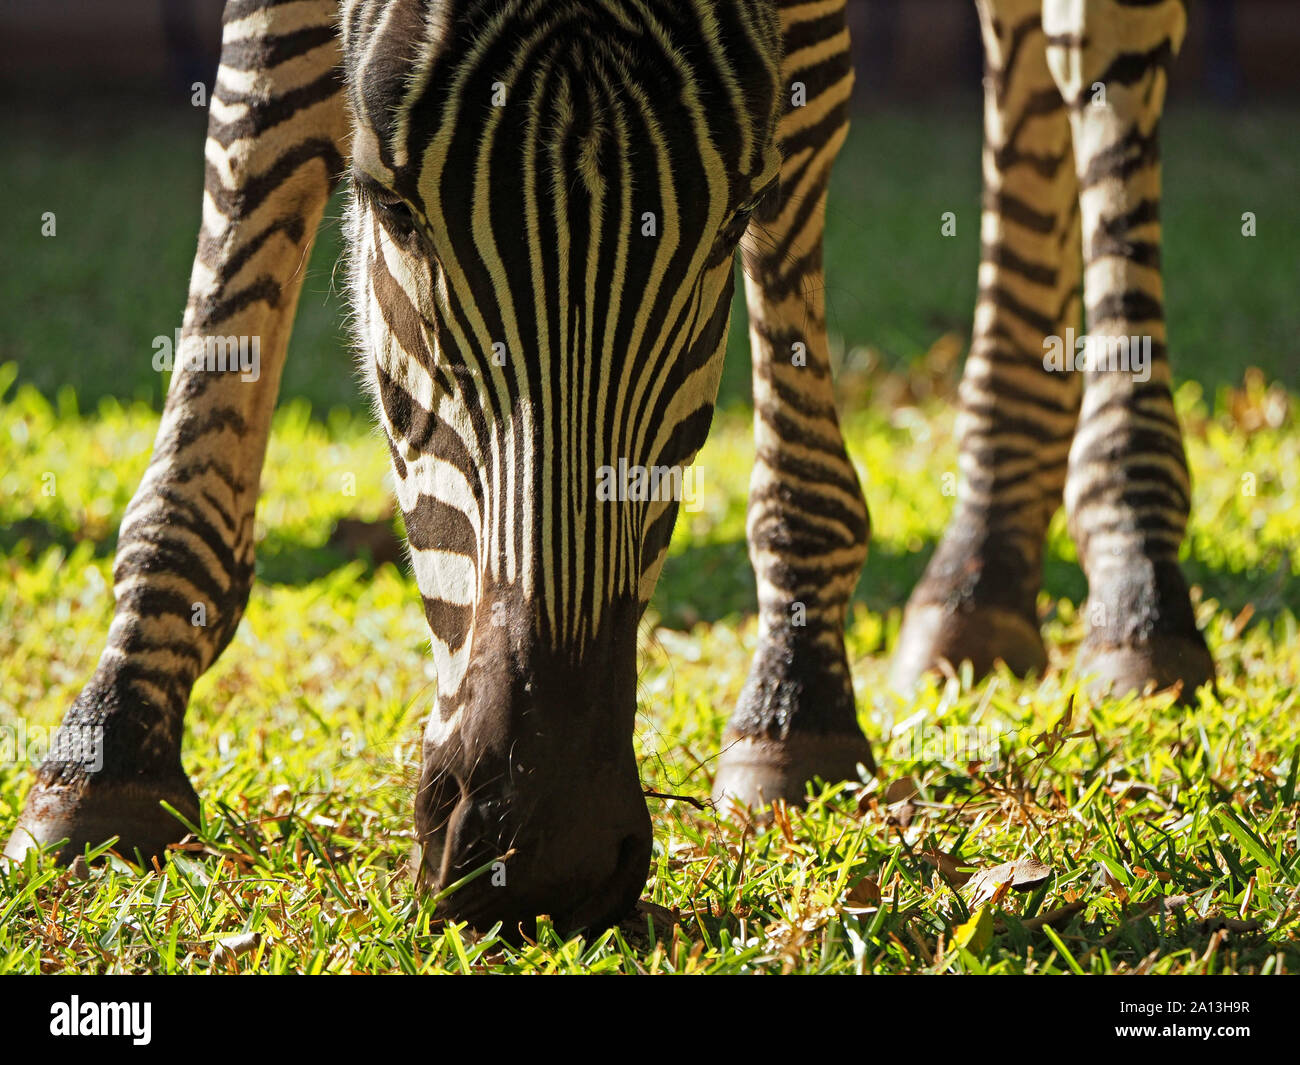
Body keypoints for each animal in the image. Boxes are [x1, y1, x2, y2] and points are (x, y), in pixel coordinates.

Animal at [5, 0, 1212, 934]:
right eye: (391, 209)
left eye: (734, 216)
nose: (546, 852)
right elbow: (257, 122)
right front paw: (113, 736)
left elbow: (810, 111)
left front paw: (796, 695)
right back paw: (983, 569)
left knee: (1093, 59)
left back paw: (1133, 571)